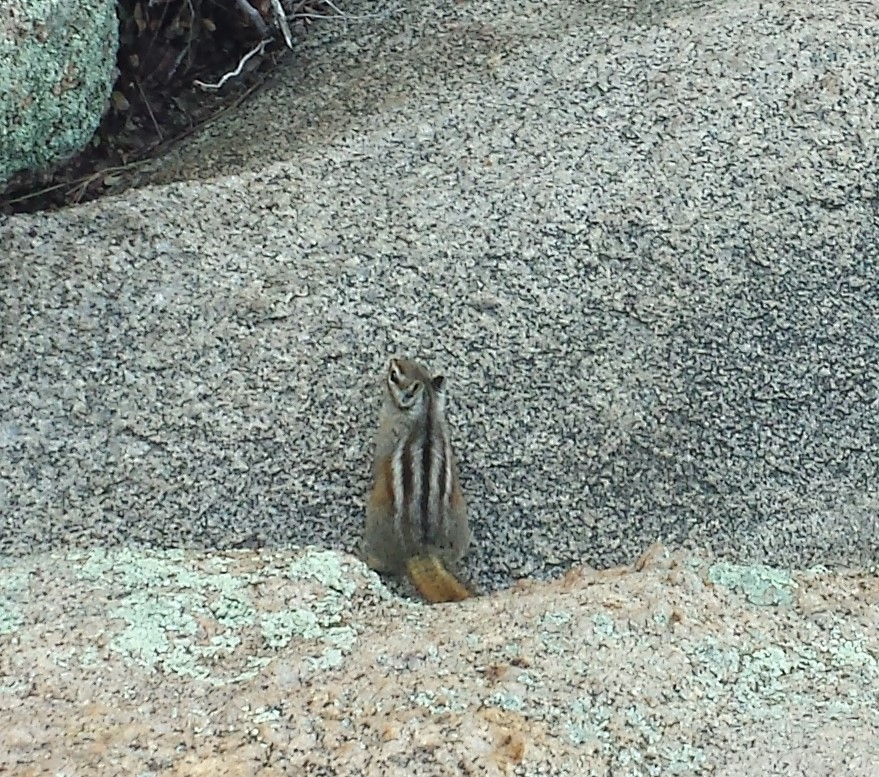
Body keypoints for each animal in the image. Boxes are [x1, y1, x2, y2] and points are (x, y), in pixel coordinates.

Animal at [364, 357, 472, 603]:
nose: (393, 358)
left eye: (394, 375)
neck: (426, 412)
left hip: (376, 516)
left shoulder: (388, 434)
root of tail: (422, 549)